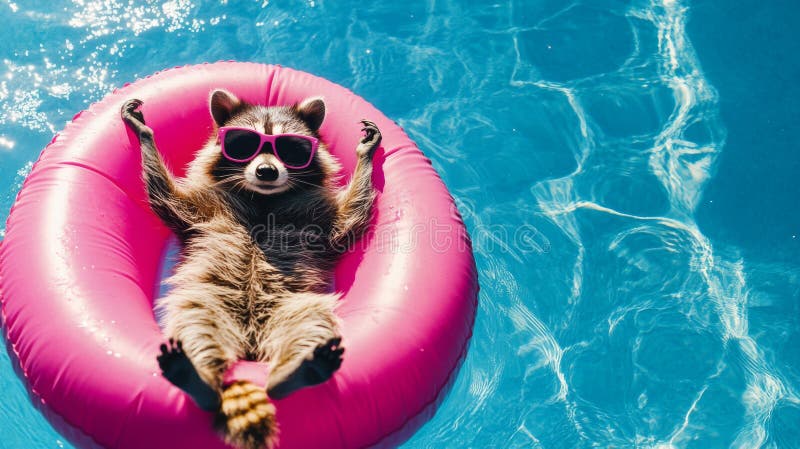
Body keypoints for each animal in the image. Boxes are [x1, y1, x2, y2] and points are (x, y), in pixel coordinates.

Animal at [120, 89, 381, 449]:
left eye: (291, 148)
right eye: (245, 143)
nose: (267, 171)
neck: (263, 200)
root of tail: (251, 344)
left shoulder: (321, 222)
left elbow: (350, 221)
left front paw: (364, 156)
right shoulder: (199, 212)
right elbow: (164, 199)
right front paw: (145, 134)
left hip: (294, 307)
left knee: (309, 325)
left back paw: (293, 373)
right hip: (207, 300)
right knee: (197, 326)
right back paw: (200, 377)